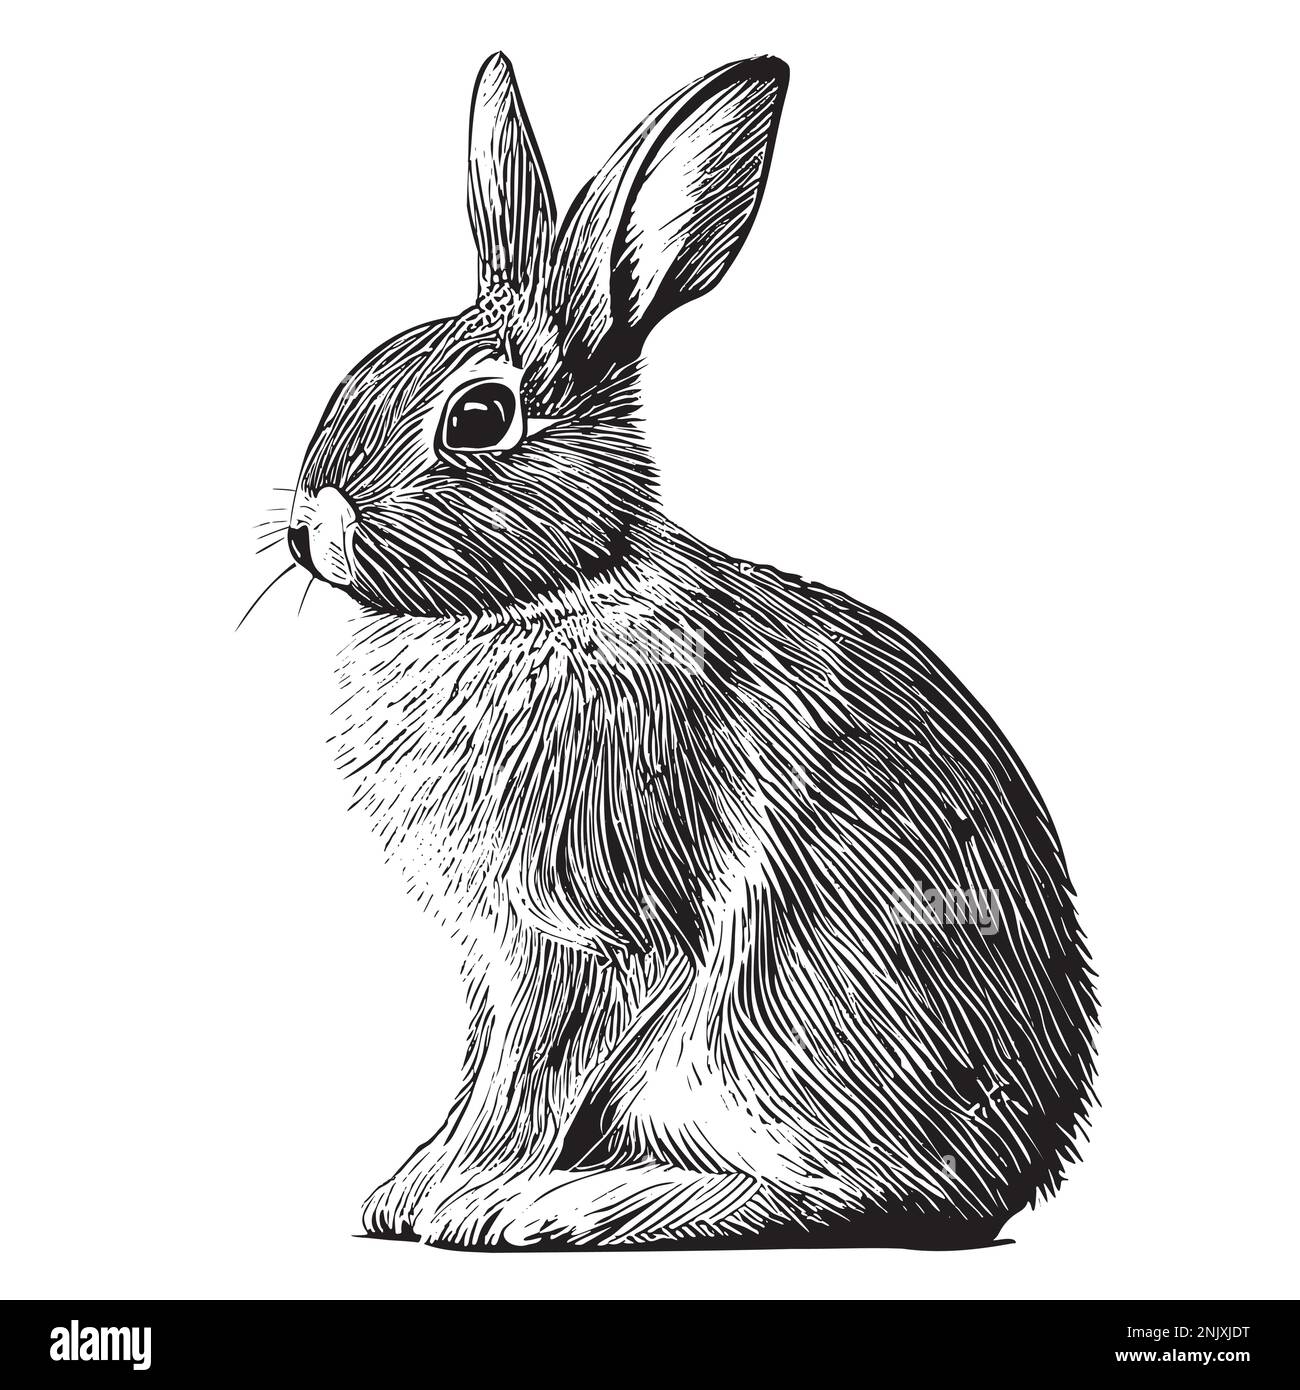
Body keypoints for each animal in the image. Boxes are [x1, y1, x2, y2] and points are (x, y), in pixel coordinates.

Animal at [284, 52, 1097, 1249]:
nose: (308, 526)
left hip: (761, 1045)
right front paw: (405, 1188)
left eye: (479, 416)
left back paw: (566, 1204)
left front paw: (460, 1200)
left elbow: (525, 1080)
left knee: (834, 1196)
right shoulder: (492, 961)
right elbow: (481, 1073)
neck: (552, 593)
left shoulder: (589, 933)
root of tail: (1016, 1166)